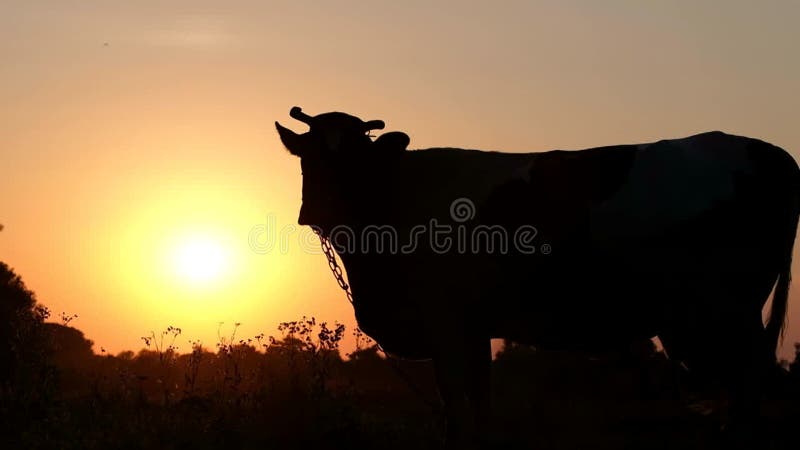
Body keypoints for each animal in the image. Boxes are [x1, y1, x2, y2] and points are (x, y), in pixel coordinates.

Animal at [275, 106, 798, 448]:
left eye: (355, 158)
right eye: (309, 156)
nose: (318, 210)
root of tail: (766, 151)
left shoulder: (445, 323)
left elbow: (455, 406)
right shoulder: (473, 328)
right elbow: (480, 401)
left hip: (720, 314)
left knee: (749, 385)